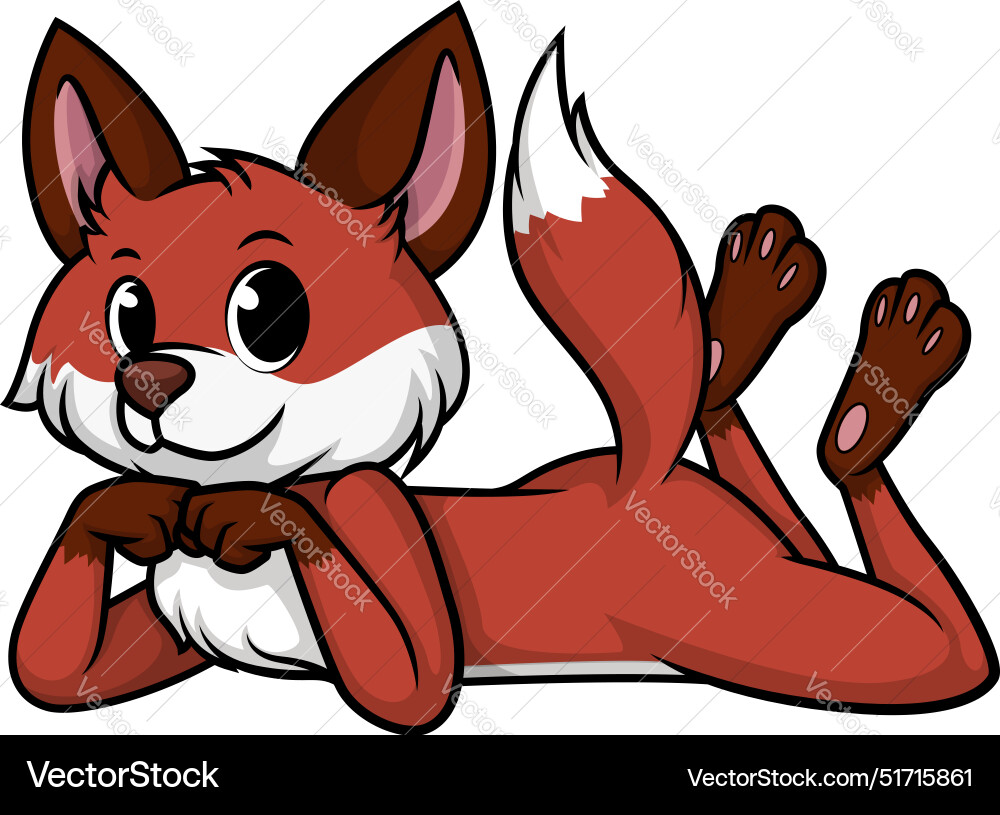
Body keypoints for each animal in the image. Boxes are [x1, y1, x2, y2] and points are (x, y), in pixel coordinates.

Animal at [7, 5, 997, 735]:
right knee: (747, 451)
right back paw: (748, 315)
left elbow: (408, 677)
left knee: (947, 640)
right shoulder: (165, 625)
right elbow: (57, 670)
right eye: (127, 313)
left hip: (763, 623)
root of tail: (640, 486)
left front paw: (250, 513)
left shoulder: (374, 517)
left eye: (268, 312)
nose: (148, 380)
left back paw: (883, 384)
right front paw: (127, 505)